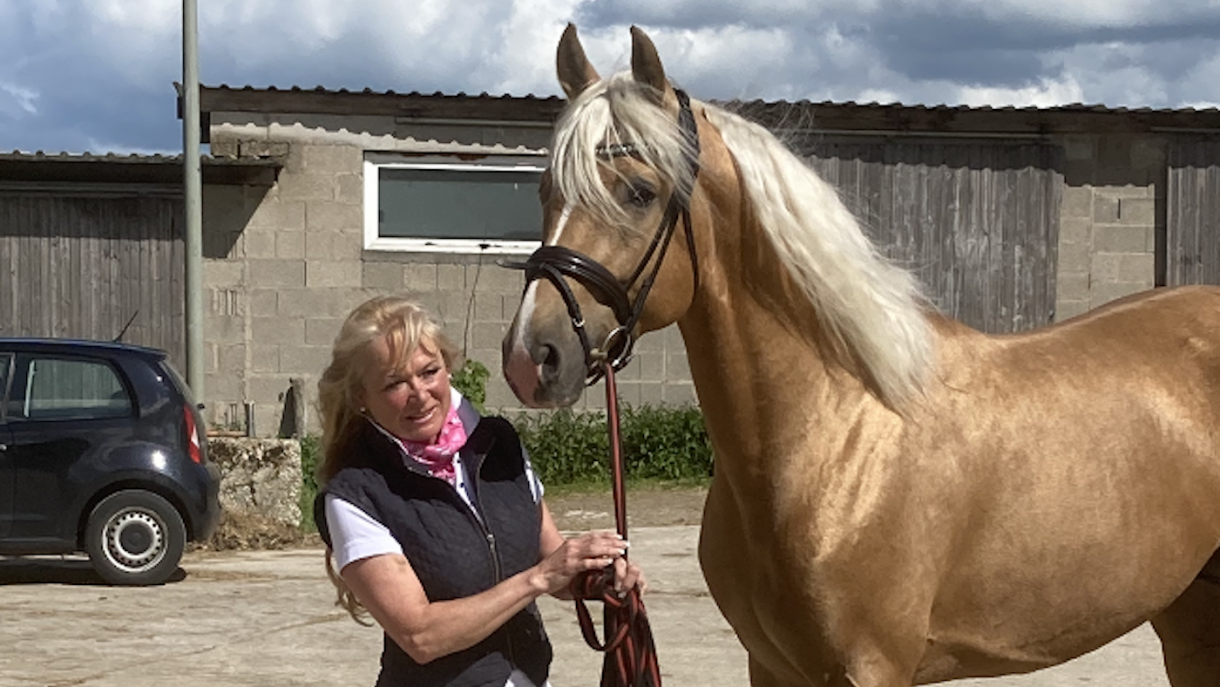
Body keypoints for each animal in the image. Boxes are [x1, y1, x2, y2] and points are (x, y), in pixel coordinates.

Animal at [500, 24, 1220, 687]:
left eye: (639, 191)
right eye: (544, 191)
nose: (530, 357)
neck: (836, 433)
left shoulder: (869, 667)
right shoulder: (770, 666)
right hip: (1187, 616)